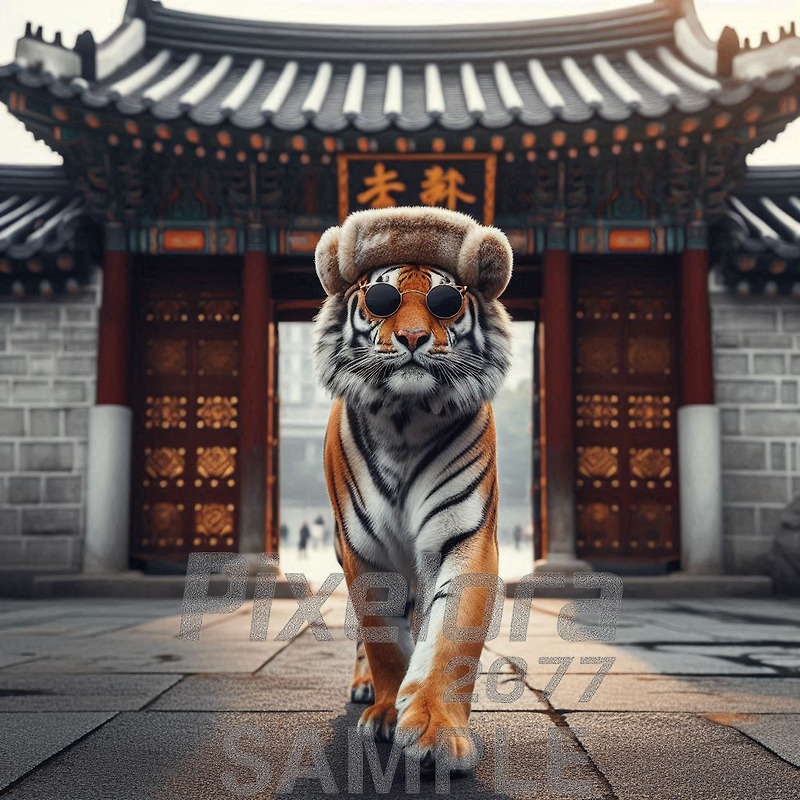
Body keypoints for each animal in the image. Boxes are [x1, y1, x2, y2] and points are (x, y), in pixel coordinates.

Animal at [313, 206, 513, 768]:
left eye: (446, 302)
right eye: (382, 299)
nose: (413, 338)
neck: (406, 417)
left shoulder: (465, 539)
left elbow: (450, 639)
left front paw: (434, 731)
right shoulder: (363, 550)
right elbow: (382, 641)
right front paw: (384, 712)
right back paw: (366, 689)